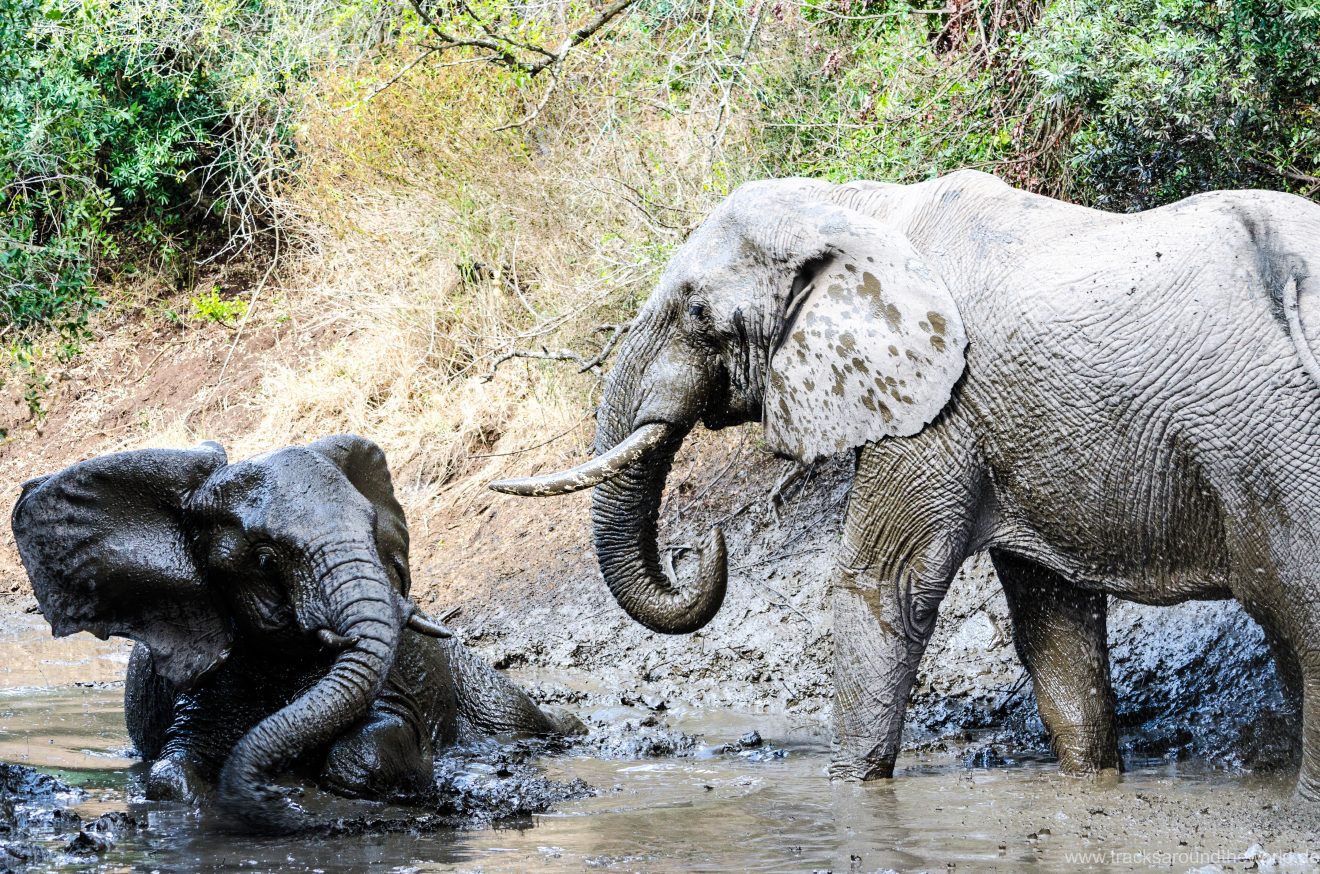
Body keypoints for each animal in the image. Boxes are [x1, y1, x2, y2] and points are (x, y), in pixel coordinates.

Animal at [12, 435, 581, 833]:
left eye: (374, 533)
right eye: (265, 560)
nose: (271, 794)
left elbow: (375, 742)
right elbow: (170, 771)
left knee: (516, 718)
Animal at [491, 169, 1320, 800]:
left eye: (697, 311)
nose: (698, 547)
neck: (855, 206)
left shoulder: (936, 409)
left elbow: (878, 584)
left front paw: (848, 796)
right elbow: (1053, 624)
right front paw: (1093, 788)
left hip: (1268, 434)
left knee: (1300, 608)